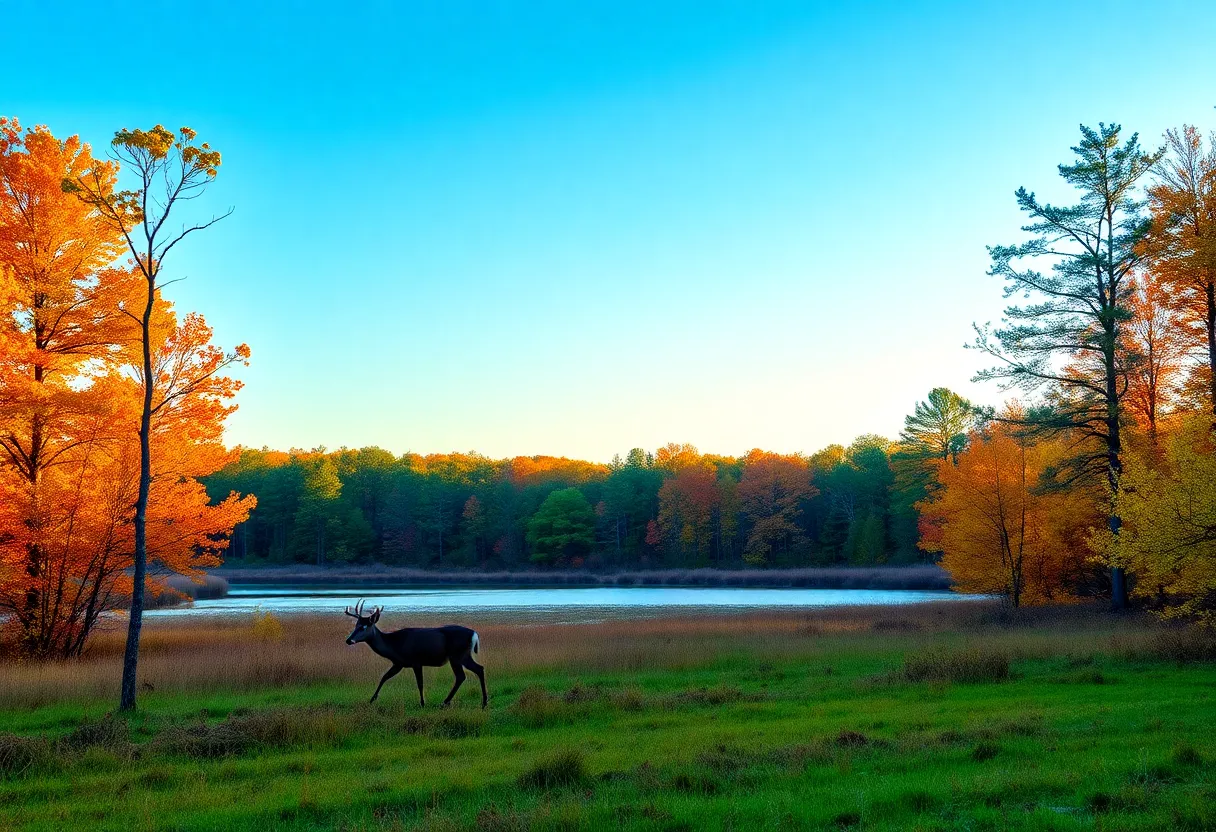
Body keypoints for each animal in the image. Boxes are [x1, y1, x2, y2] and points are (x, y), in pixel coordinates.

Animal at [343, 600, 487, 709]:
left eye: (363, 627)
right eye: (355, 625)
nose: (349, 640)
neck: (394, 646)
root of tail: (474, 634)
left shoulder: (415, 661)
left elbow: (420, 683)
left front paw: (422, 703)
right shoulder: (398, 663)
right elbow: (384, 677)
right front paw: (372, 699)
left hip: (457, 655)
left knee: (462, 676)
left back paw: (445, 702)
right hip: (463, 655)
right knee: (478, 669)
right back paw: (483, 703)